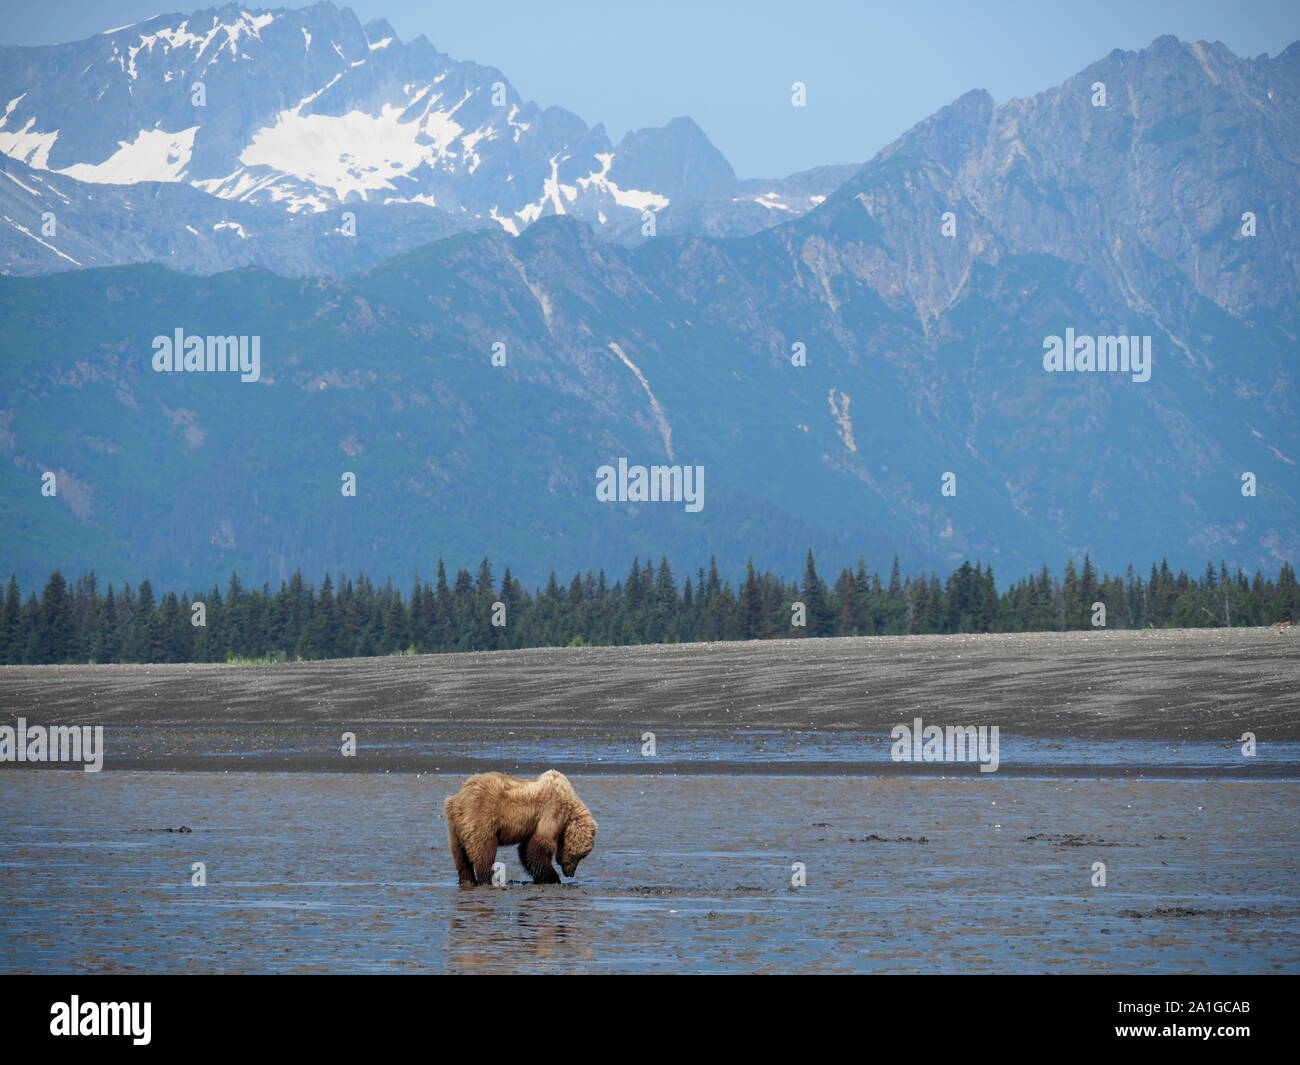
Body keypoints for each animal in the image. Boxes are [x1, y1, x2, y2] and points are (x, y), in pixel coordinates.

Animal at [443, 769, 597, 886]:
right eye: (581, 856)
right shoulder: (552, 811)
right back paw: (488, 879)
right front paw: (553, 878)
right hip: (481, 816)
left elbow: (526, 850)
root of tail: (459, 798)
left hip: (455, 827)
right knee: (484, 850)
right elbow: (539, 846)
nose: (570, 873)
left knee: (460, 855)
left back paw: (467, 880)